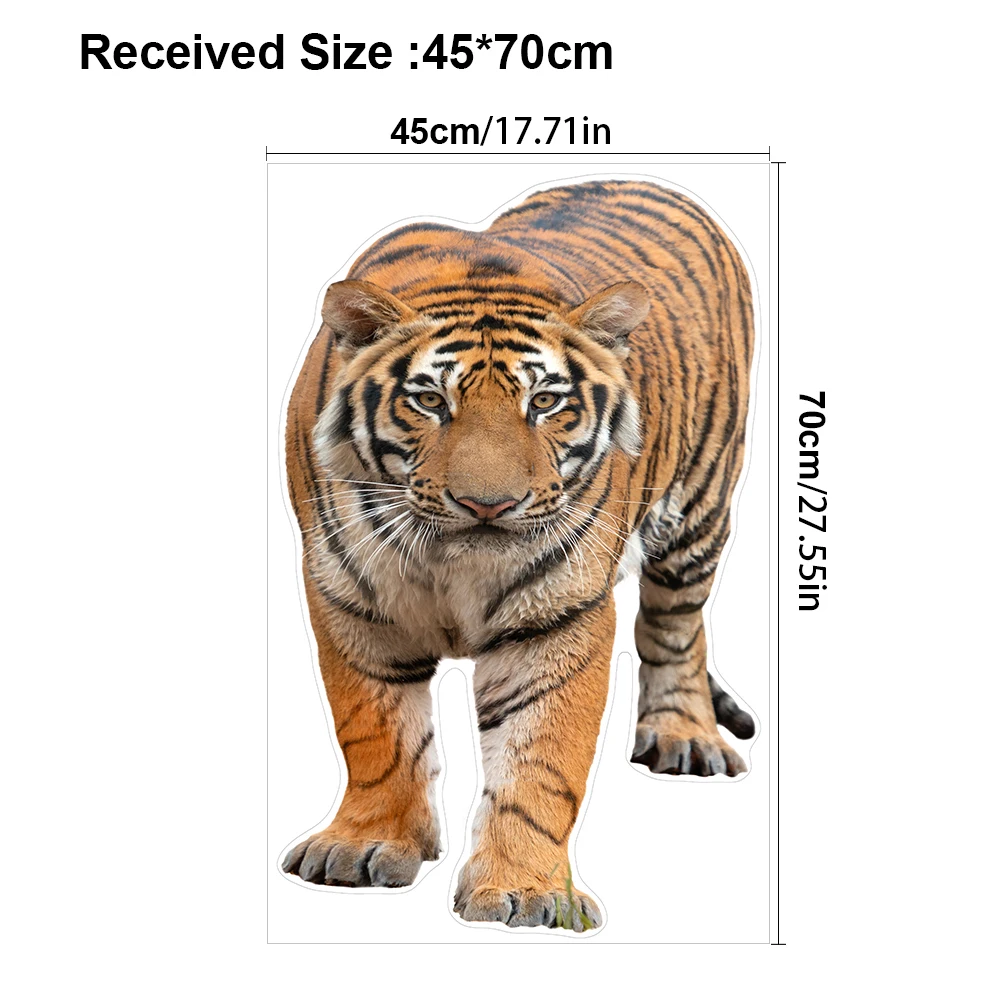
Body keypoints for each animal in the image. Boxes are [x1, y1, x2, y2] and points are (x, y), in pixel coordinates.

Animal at [281, 179, 756, 932]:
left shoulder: (559, 615)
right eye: (428, 400)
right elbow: (375, 732)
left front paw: (526, 892)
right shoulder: (349, 597)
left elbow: (542, 762)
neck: (450, 562)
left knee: (677, 626)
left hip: (700, 507)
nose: (488, 505)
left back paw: (686, 735)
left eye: (546, 402)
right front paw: (365, 845)